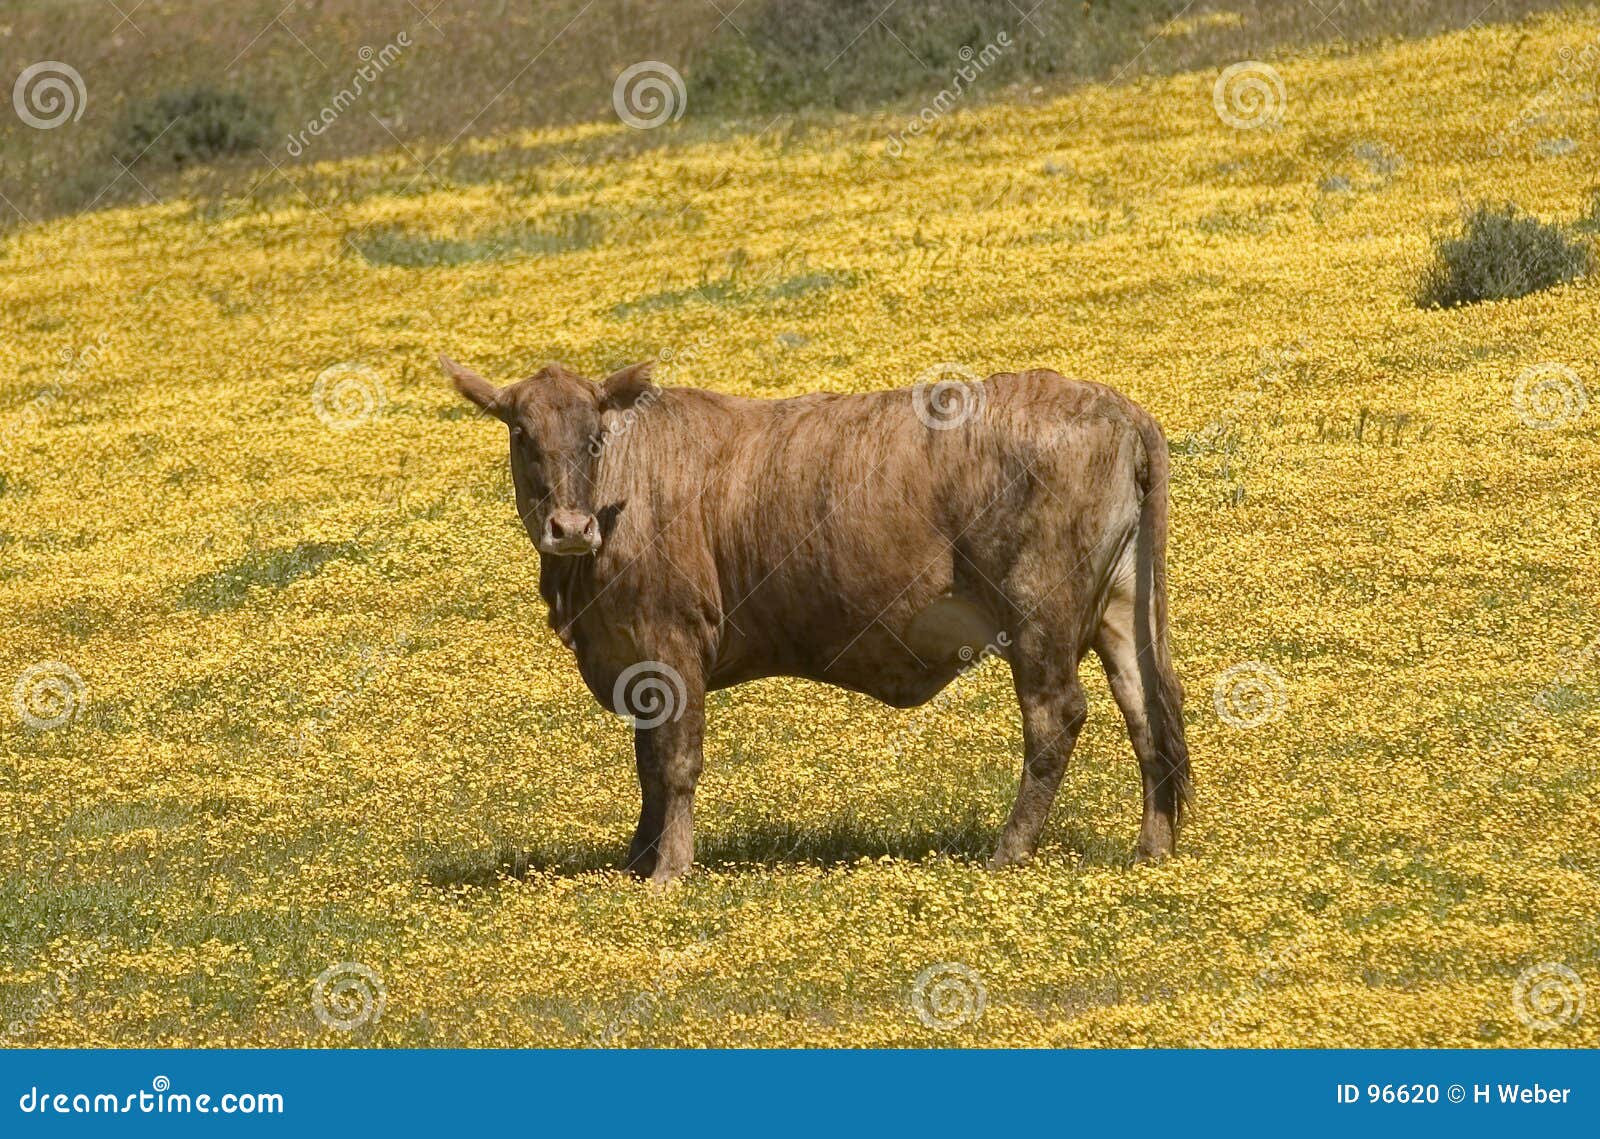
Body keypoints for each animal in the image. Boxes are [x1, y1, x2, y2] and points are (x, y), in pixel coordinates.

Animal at [441, 355, 1190, 884]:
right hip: (1122, 606)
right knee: (1146, 709)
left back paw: (1009, 850)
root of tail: (1113, 404)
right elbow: (647, 763)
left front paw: (668, 870)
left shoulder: (670, 639)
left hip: (1039, 612)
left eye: (594, 437)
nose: (570, 527)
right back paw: (1151, 847)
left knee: (1055, 715)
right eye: (521, 434)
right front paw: (636, 859)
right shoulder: (634, 657)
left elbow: (675, 760)